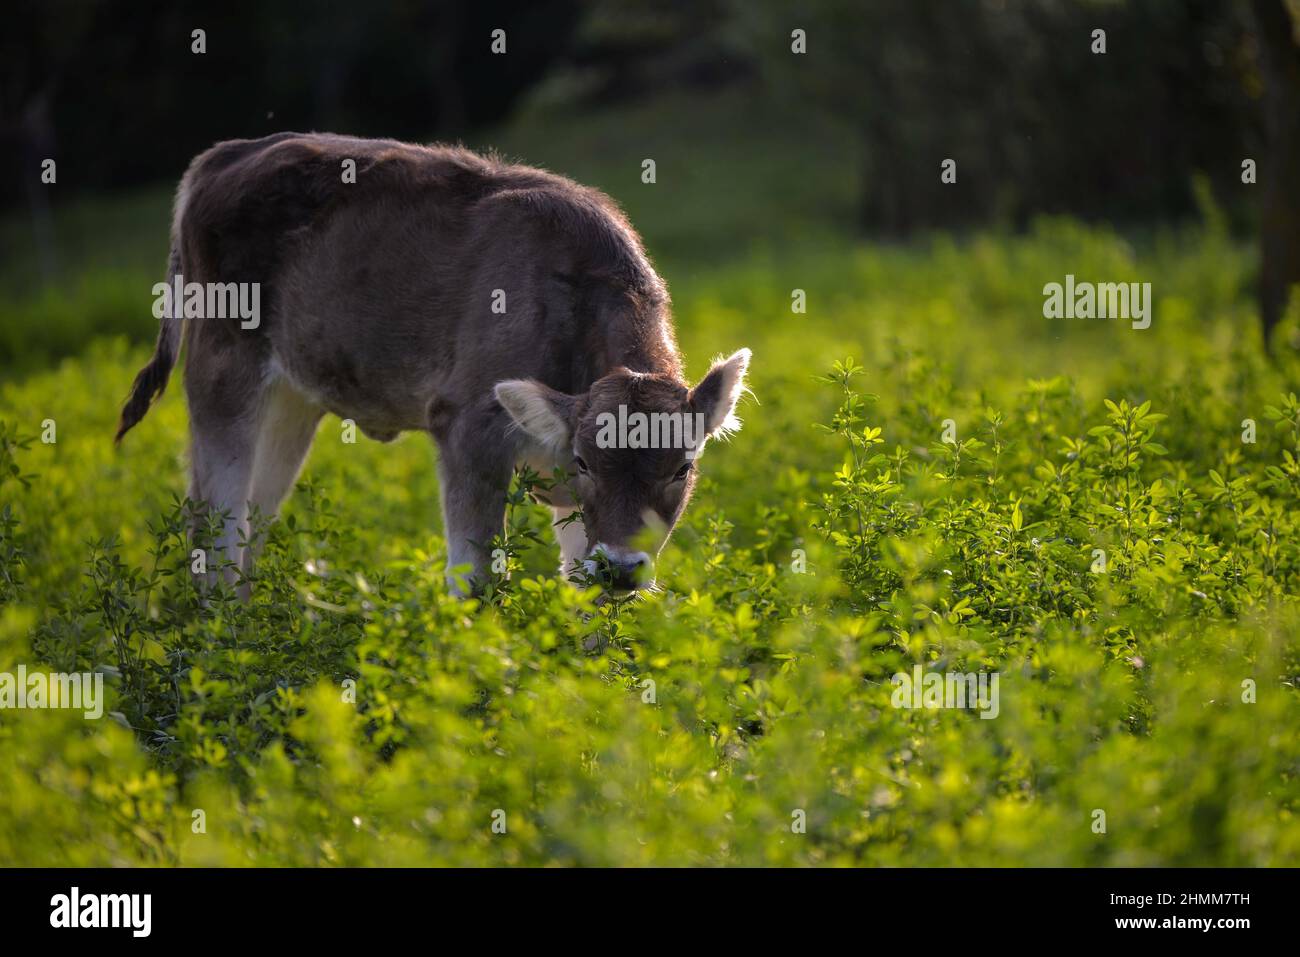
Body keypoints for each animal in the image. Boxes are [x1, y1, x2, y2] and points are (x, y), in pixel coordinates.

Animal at [115, 133, 751, 596]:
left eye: (682, 468)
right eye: (584, 461)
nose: (622, 567)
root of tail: (227, 153)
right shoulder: (469, 431)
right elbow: (477, 584)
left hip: (291, 400)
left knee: (254, 521)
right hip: (223, 370)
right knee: (214, 530)